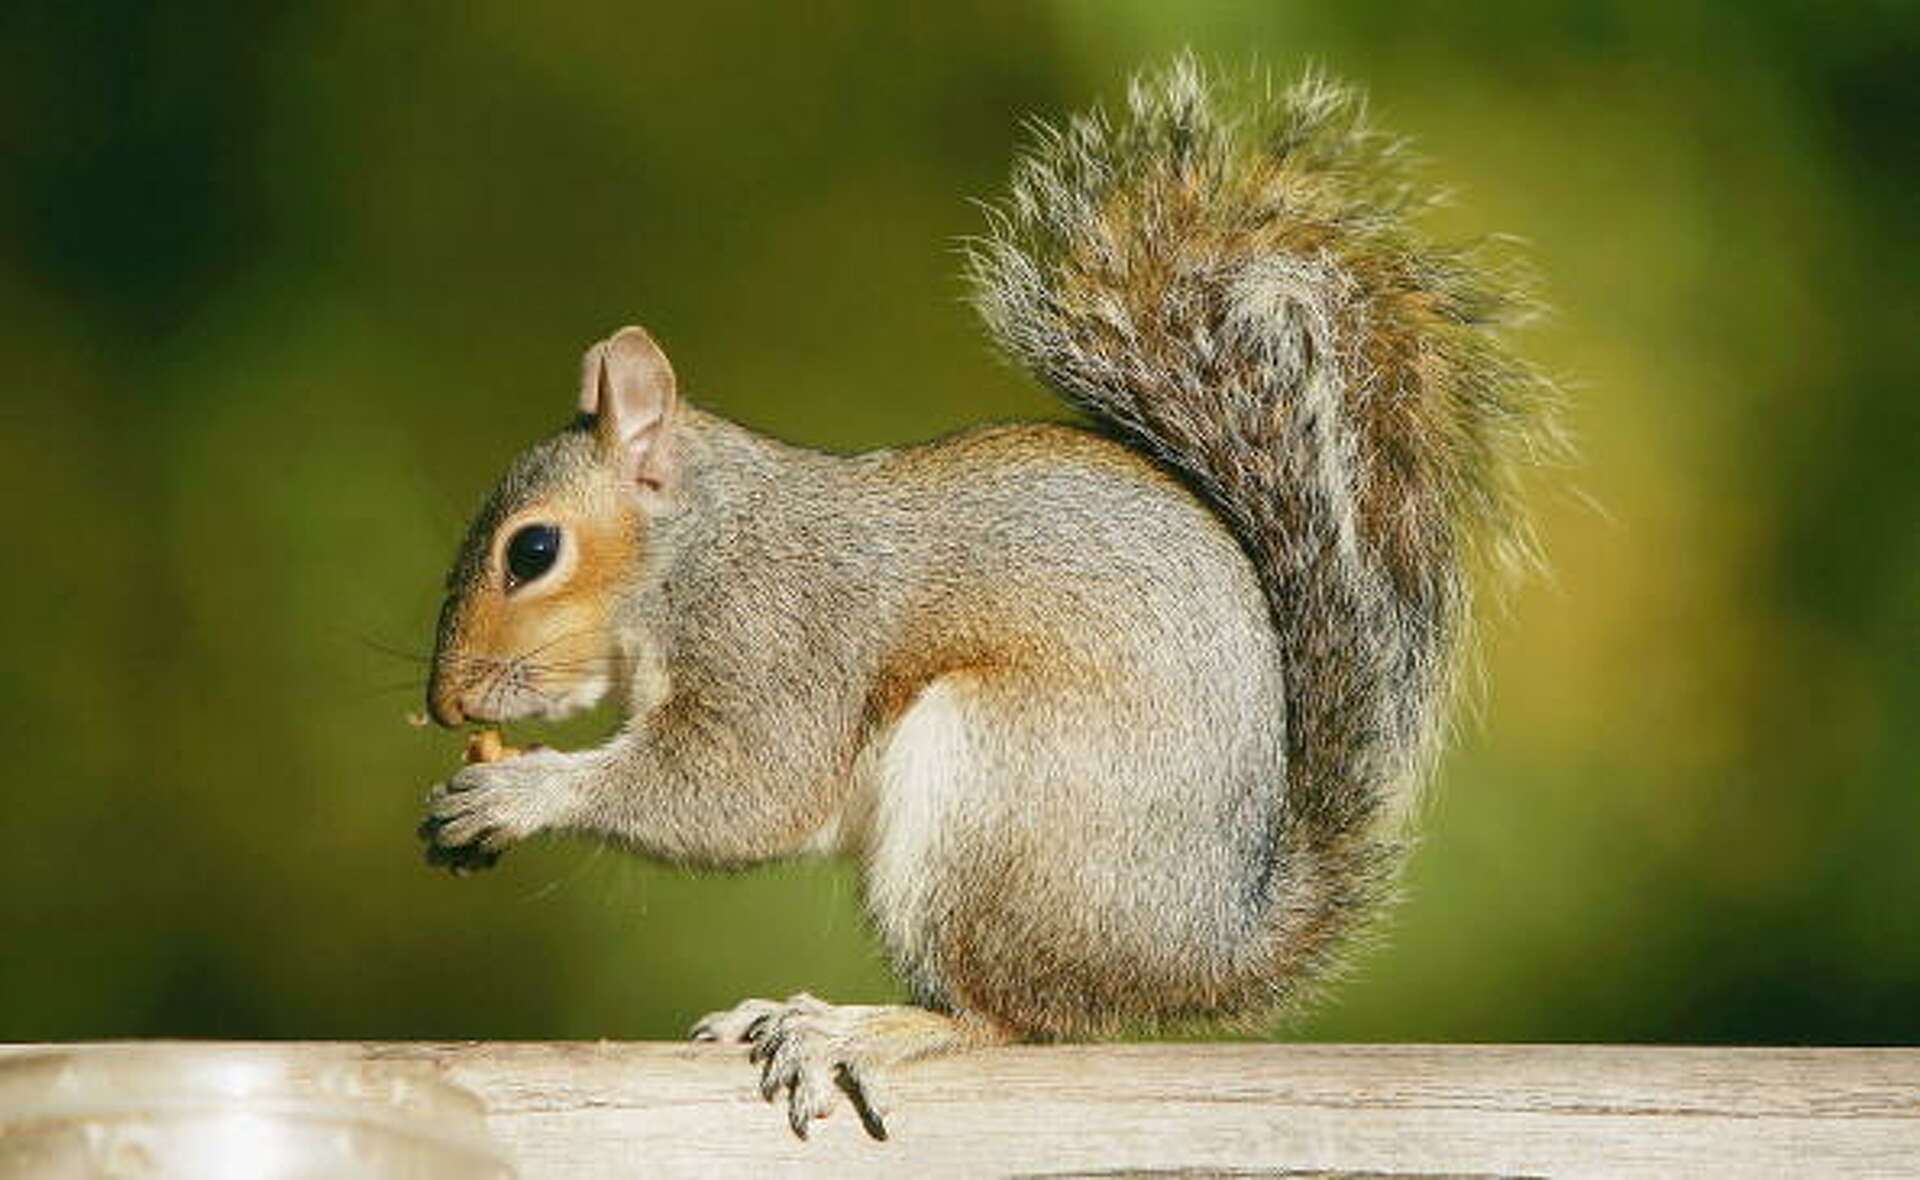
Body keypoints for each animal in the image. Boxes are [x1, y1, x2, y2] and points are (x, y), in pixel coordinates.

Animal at [419, 58, 1559, 1139]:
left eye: (533, 551)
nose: (443, 704)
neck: (696, 548)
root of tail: (1207, 946)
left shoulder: (778, 635)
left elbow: (746, 789)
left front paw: (522, 792)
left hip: (994, 789)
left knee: (1008, 1017)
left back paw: (850, 1028)